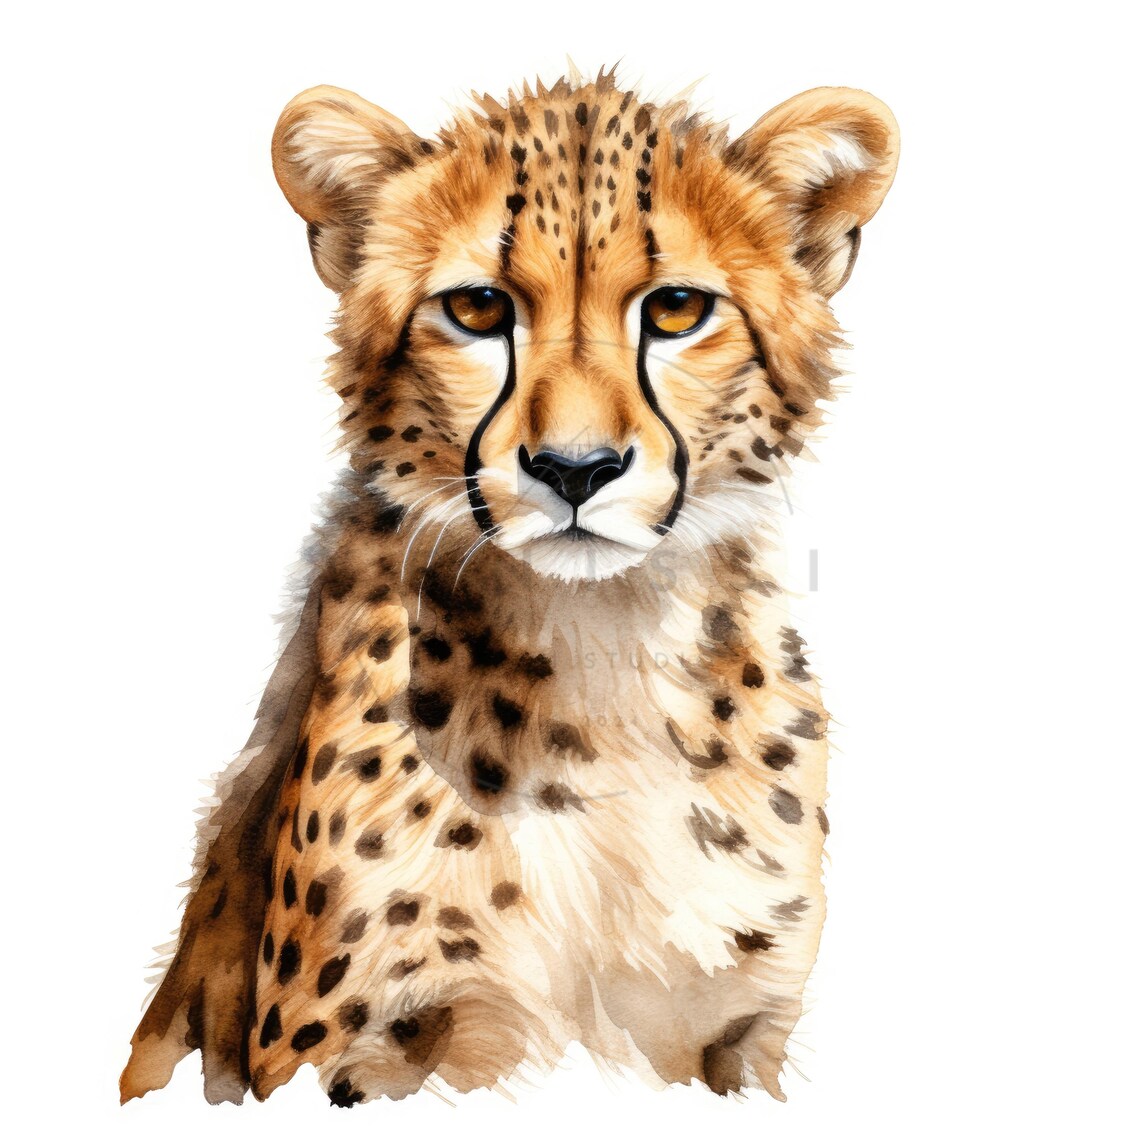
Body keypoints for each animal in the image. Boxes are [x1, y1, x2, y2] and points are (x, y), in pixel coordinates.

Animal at [121, 66, 898, 1107]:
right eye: (480, 311)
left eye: (677, 310)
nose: (575, 468)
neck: (603, 647)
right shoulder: (352, 1056)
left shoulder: (739, 1043)